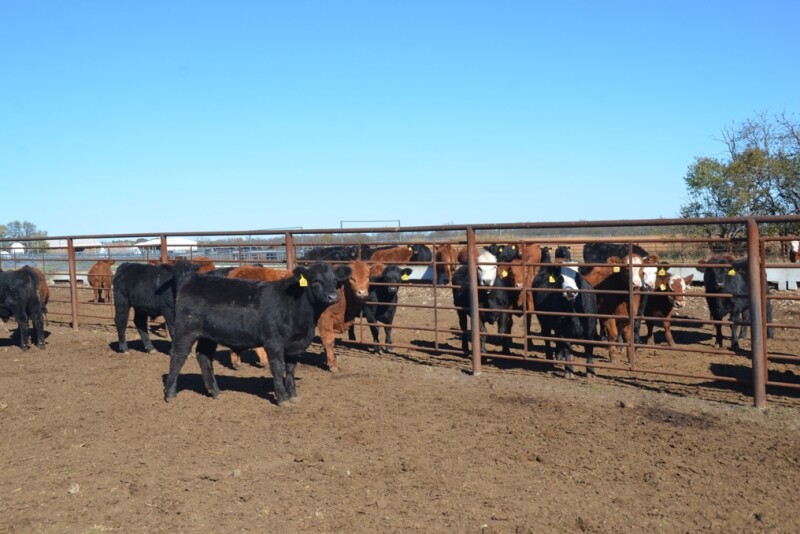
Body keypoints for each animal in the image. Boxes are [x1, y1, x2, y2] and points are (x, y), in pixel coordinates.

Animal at [163, 263, 351, 405]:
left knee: (204, 356)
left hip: (208, 335)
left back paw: (215, 391)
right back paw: (170, 394)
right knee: (178, 356)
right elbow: (278, 368)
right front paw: (281, 398)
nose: (332, 297)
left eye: (335, 280)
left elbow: (290, 370)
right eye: (316, 280)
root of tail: (193, 280)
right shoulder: (274, 343)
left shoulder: (295, 345)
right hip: (186, 331)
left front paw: (293, 396)